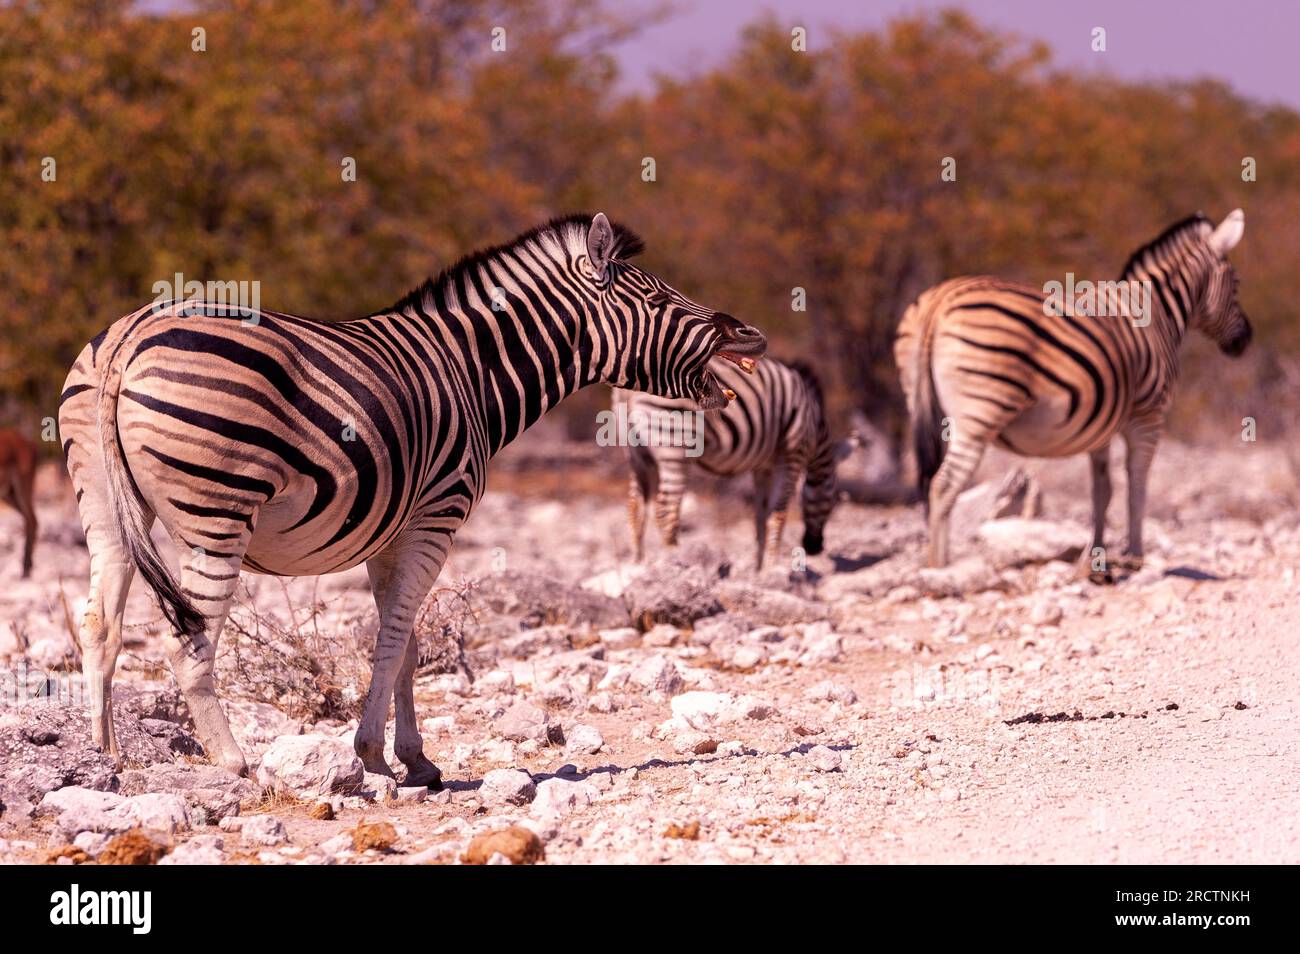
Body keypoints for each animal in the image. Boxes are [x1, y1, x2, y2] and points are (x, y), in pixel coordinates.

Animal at [58, 213, 766, 785]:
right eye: (658, 297)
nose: (752, 335)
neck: (472, 370)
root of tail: (126, 337)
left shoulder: (388, 528)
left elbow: (405, 642)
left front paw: (415, 758)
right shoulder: (437, 516)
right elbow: (397, 634)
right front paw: (374, 755)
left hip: (104, 504)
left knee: (99, 625)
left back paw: (103, 760)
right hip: (218, 509)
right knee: (188, 641)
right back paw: (233, 765)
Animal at [614, 356, 853, 570]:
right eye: (835, 499)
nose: (815, 548)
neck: (814, 423)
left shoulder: (764, 467)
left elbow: (760, 518)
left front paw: (759, 570)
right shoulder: (792, 455)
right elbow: (778, 515)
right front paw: (773, 566)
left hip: (636, 453)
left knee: (635, 507)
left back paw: (638, 564)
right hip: (673, 444)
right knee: (666, 509)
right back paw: (674, 561)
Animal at [895, 209, 1250, 570]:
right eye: (1236, 285)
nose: (1245, 340)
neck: (1157, 316)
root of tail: (940, 300)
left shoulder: (1101, 427)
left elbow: (1102, 491)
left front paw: (1095, 556)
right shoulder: (1148, 417)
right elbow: (1137, 485)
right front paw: (1134, 556)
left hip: (928, 407)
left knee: (934, 483)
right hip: (980, 412)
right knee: (944, 486)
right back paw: (939, 567)